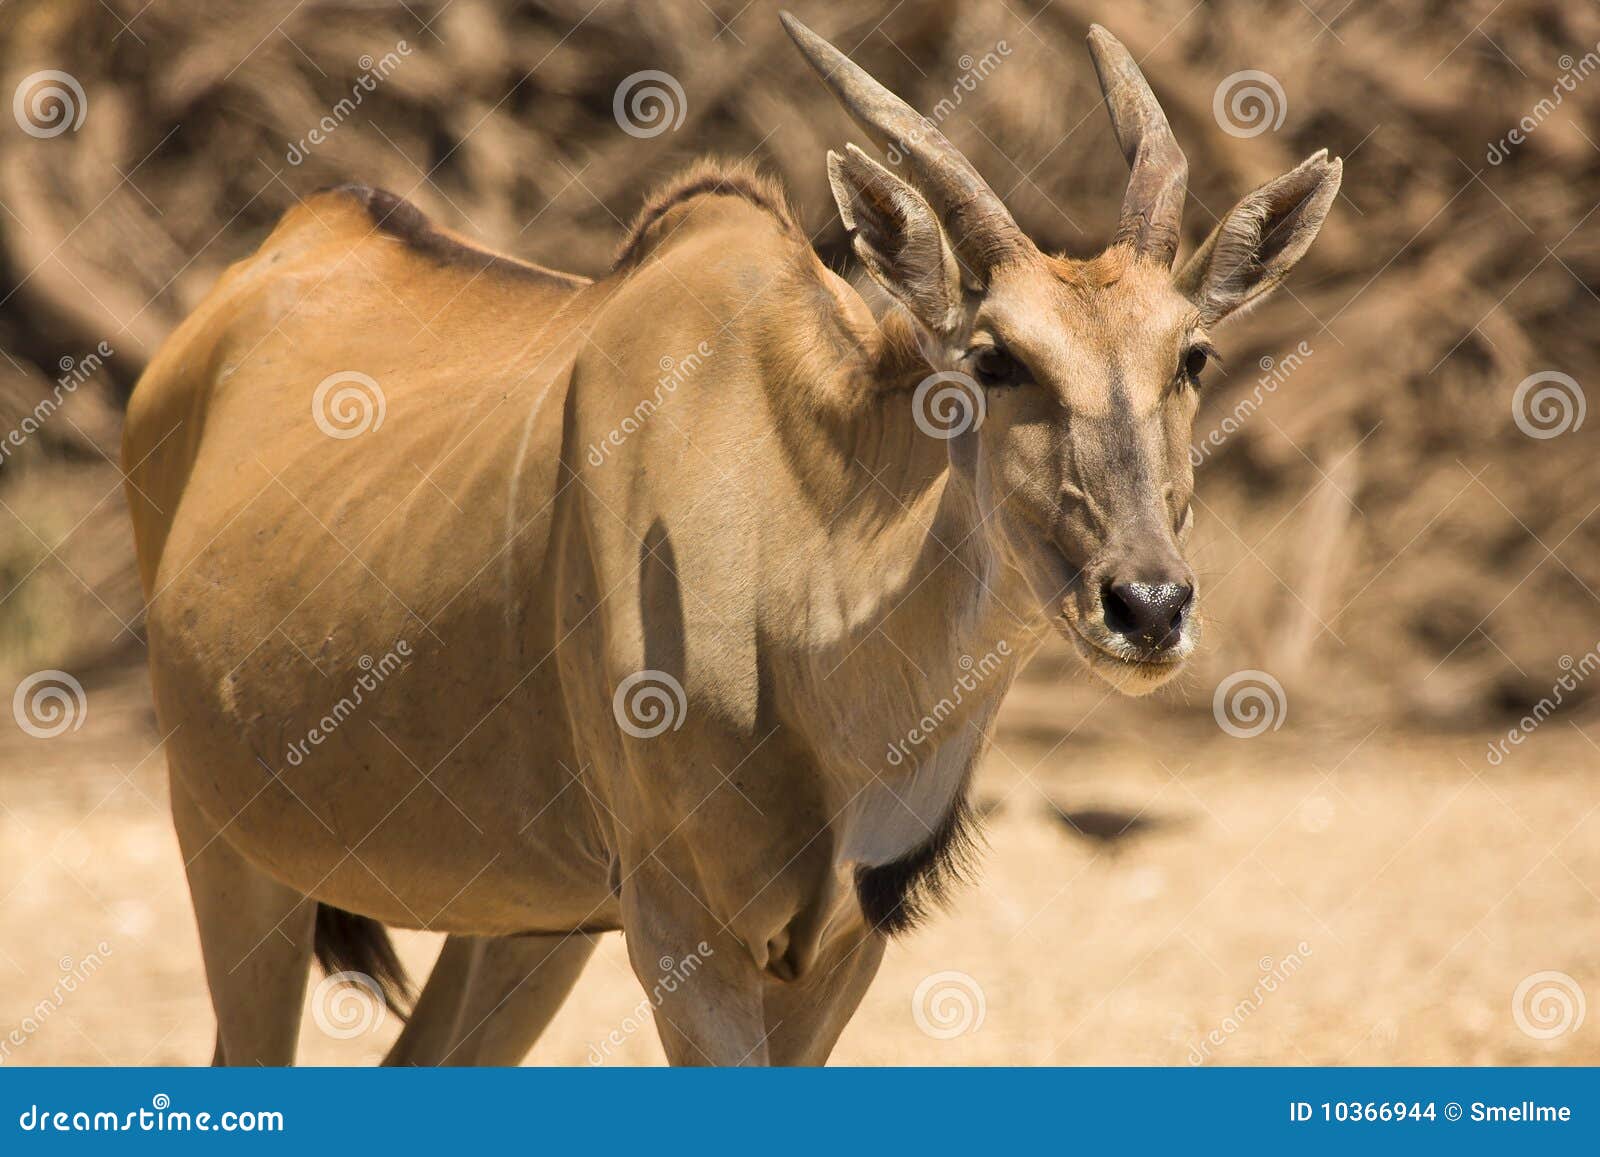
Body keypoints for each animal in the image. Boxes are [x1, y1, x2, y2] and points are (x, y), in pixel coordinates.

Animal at [122, 12, 1339, 1065]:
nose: (1147, 606)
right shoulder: (684, 934)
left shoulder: (834, 949)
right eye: (995, 359)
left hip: (524, 927)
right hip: (230, 848)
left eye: (1191, 355)